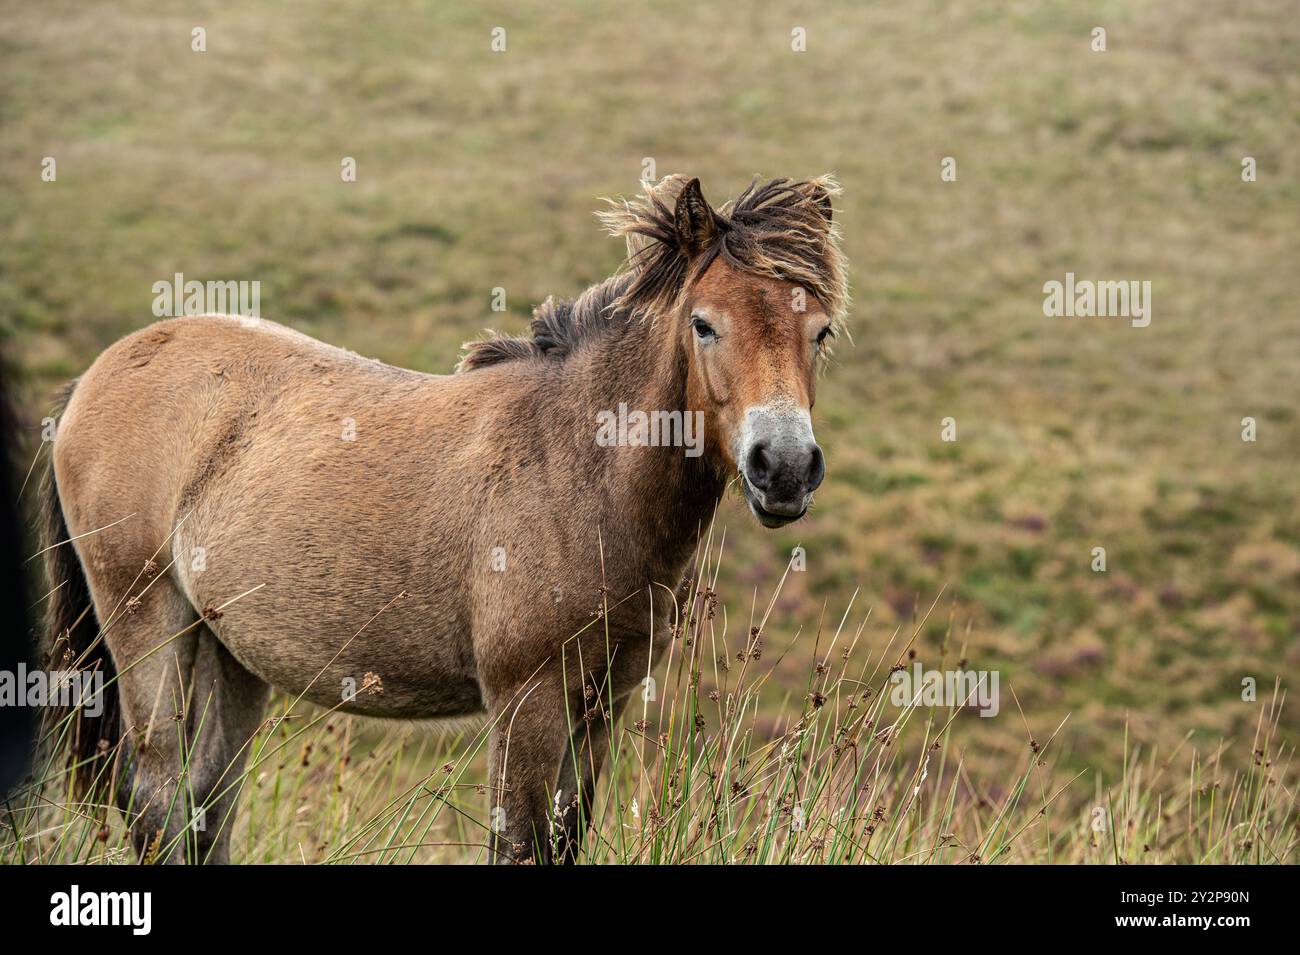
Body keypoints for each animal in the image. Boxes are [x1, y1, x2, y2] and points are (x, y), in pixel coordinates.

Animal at [40, 174, 849, 863]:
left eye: (821, 332)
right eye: (705, 325)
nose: (783, 466)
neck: (575, 467)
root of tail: (99, 373)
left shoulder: (600, 707)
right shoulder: (527, 702)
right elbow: (518, 845)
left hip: (231, 654)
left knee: (206, 806)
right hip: (147, 620)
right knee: (156, 799)